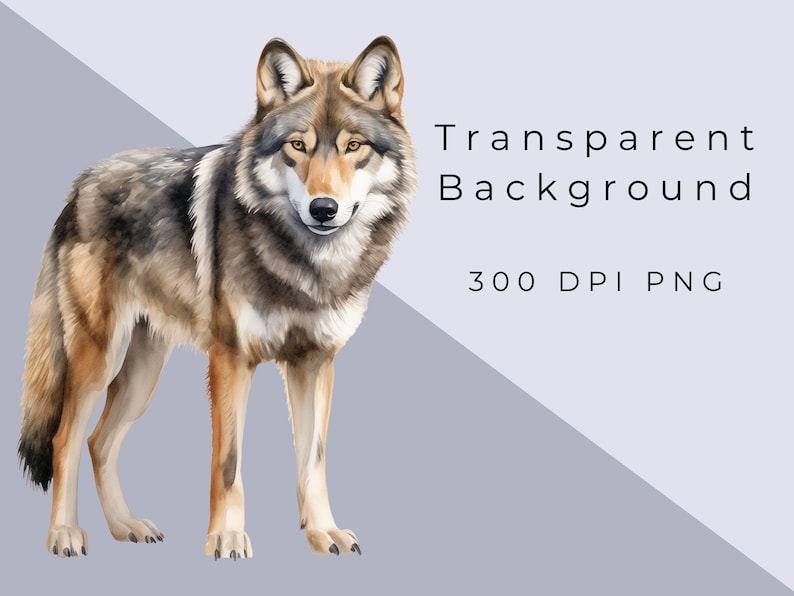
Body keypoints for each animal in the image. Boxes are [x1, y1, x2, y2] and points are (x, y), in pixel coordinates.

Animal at [18, 36, 416, 560]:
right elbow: (228, 463)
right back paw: (64, 534)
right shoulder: (231, 360)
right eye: (297, 146)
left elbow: (313, 461)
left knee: (99, 442)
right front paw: (226, 538)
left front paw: (322, 533)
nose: (323, 209)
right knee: (65, 438)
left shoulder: (315, 362)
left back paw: (127, 527)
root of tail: (78, 186)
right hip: (99, 359)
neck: (307, 263)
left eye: (354, 147)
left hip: (143, 374)